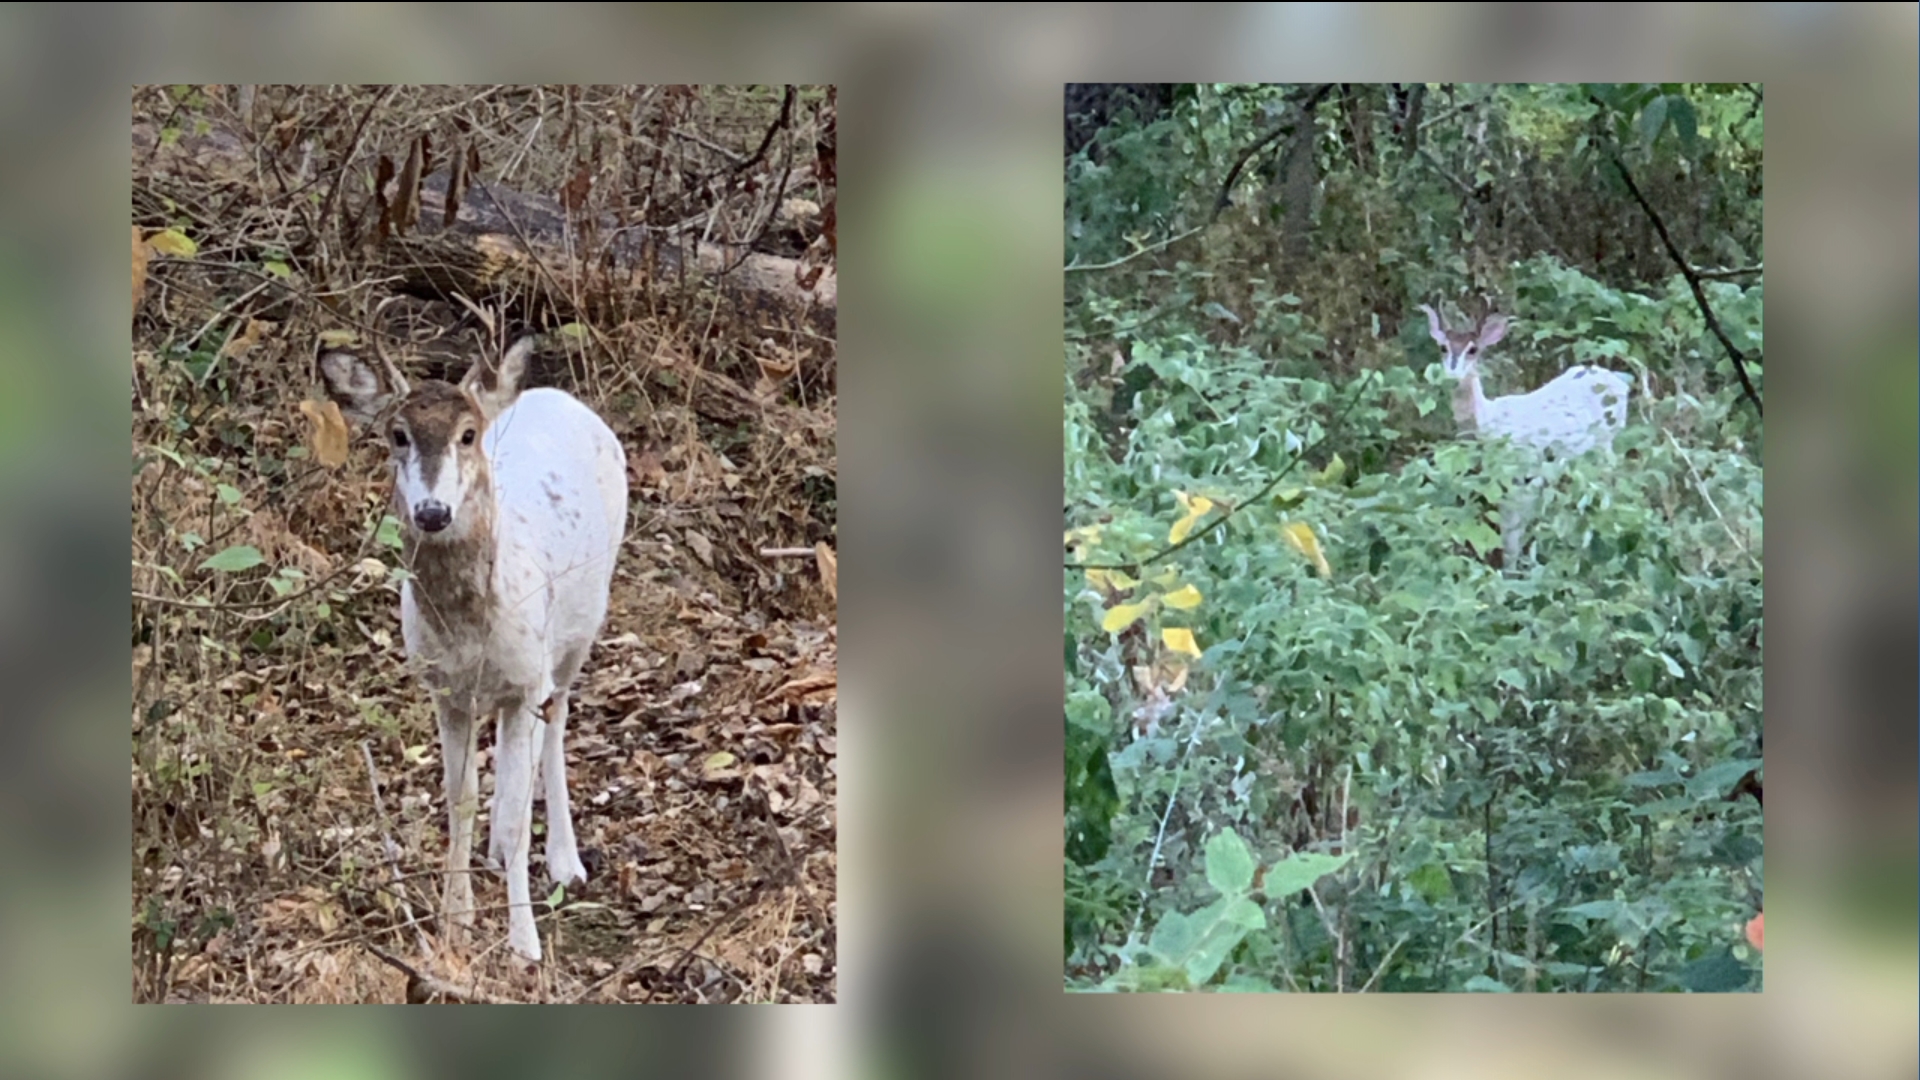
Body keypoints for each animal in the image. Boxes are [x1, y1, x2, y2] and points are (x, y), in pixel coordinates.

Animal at [320, 330, 629, 962]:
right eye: (398, 434)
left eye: (467, 435)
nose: (433, 512)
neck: (470, 630)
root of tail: (557, 395)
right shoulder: (444, 690)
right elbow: (459, 797)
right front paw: (454, 920)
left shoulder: (526, 681)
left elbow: (514, 812)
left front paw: (524, 943)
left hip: (579, 629)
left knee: (558, 720)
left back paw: (565, 861)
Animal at [1419, 303, 1630, 568]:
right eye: (1443, 347)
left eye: (1473, 349)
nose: (1452, 376)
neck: (1489, 423)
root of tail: (1618, 381)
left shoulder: (1521, 479)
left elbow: (1512, 542)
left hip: (1605, 442)